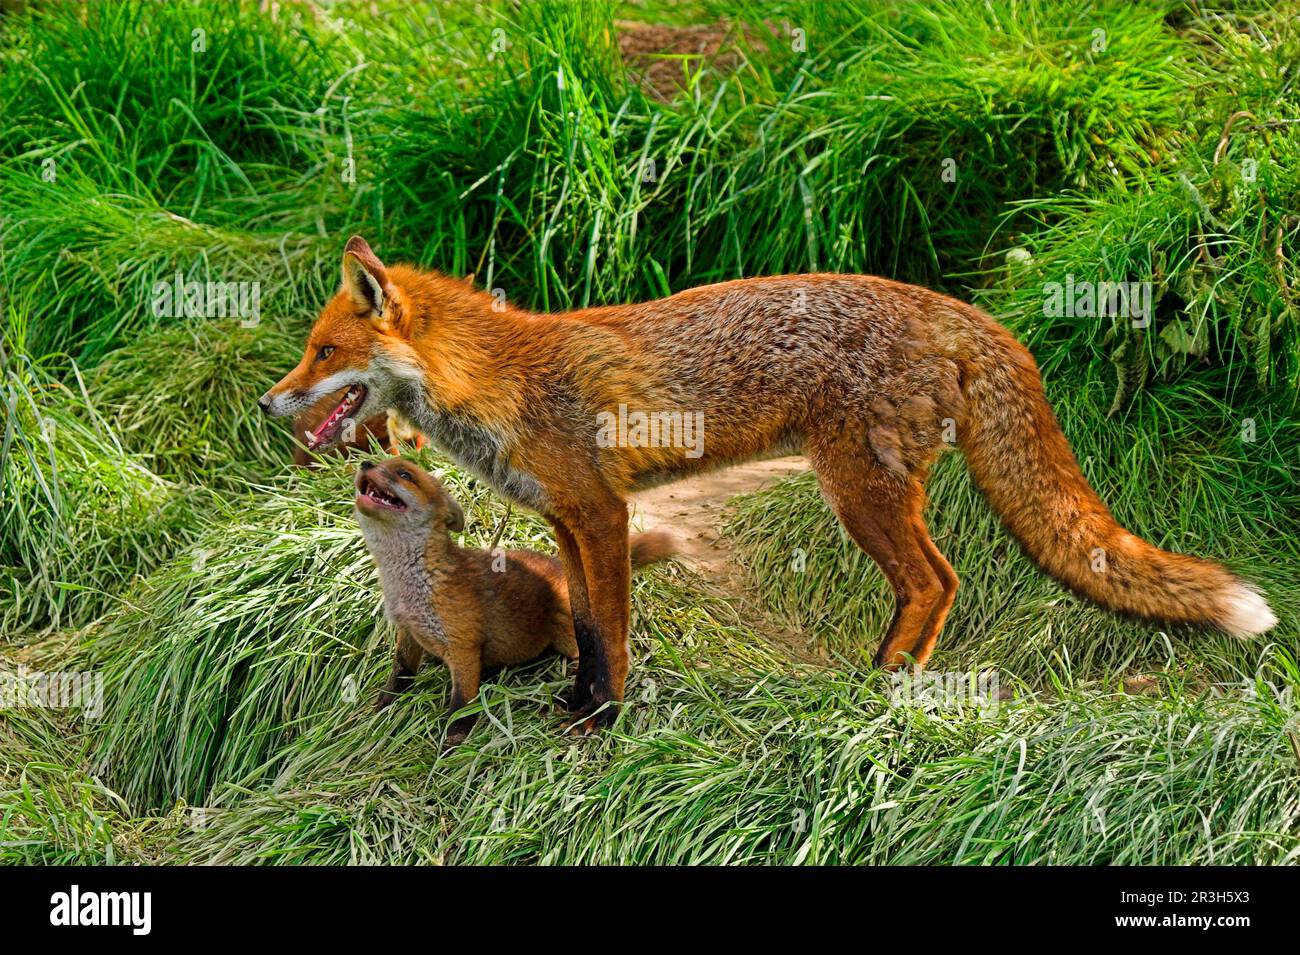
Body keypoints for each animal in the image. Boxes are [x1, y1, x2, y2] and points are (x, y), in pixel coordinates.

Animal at [354, 457, 676, 742]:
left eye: (404, 474)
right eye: (380, 463)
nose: (365, 464)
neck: (408, 589)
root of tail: (560, 567)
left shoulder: (463, 647)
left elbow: (460, 706)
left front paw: (452, 743)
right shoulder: (407, 632)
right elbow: (400, 675)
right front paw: (380, 707)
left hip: (566, 634)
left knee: (587, 650)